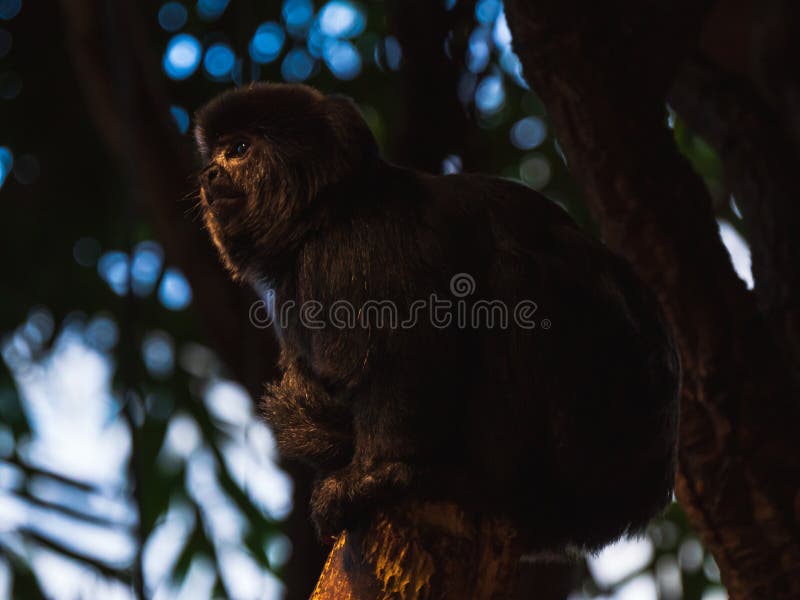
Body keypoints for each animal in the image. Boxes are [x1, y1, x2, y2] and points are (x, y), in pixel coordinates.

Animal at [194, 82, 680, 552]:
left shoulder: (360, 246)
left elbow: (404, 351)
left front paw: (376, 477)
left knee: (515, 281)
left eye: (238, 148)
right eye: (214, 153)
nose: (208, 174)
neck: (327, 214)